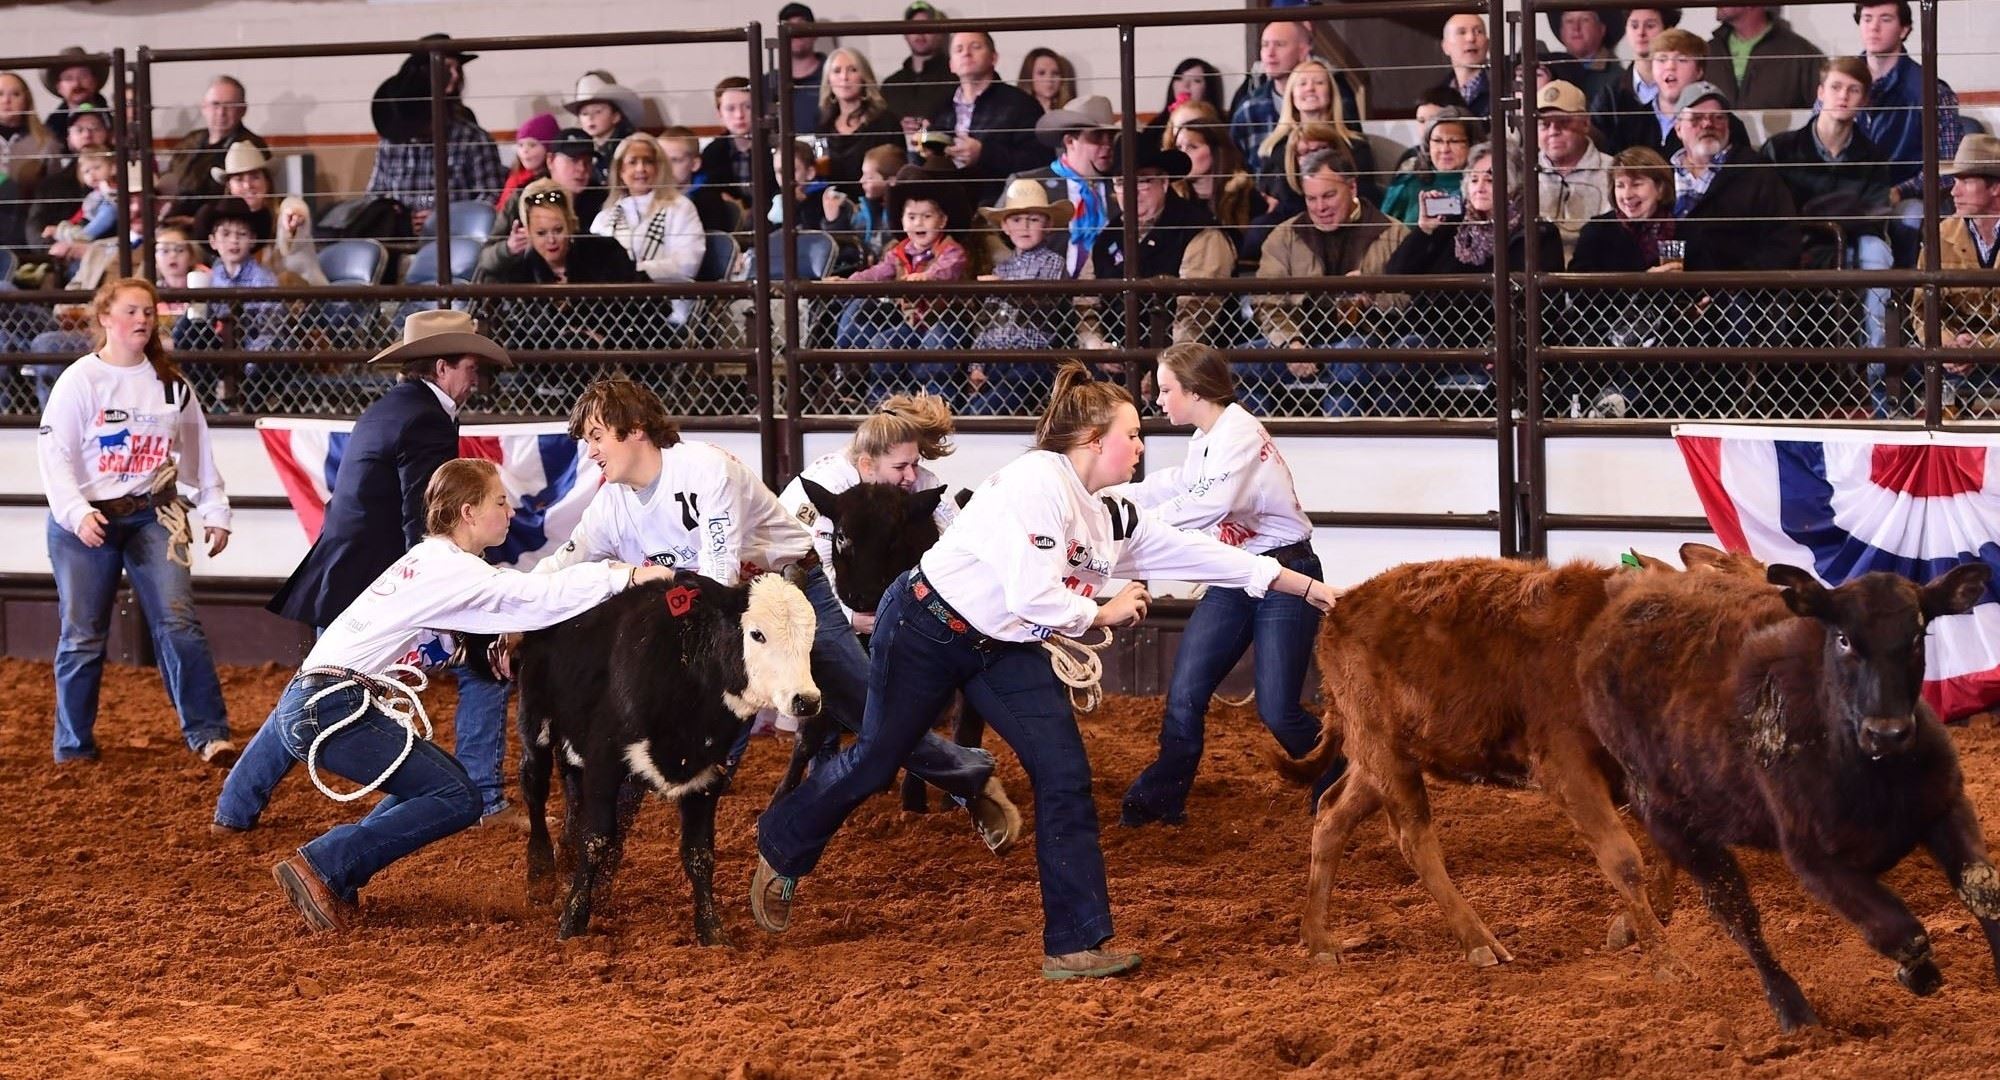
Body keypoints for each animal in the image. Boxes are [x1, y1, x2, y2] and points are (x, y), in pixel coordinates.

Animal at [510, 571, 821, 943]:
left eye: (812, 635)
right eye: (757, 634)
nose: (807, 700)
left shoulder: (708, 776)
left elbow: (700, 853)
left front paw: (712, 931)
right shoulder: (604, 763)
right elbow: (596, 839)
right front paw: (573, 922)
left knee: (570, 784)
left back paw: (566, 858)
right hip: (535, 721)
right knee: (534, 785)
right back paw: (540, 875)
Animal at [1271, 544, 1758, 968]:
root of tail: (1340, 610)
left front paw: (1634, 926)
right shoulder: (1566, 769)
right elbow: (1623, 858)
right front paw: (1666, 960)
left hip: (1381, 760)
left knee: (1332, 814)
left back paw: (1318, 939)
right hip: (1385, 752)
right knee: (1413, 838)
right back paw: (1479, 941)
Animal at [1579, 560, 2000, 1031]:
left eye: (1916, 636)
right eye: (1844, 638)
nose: (1887, 732)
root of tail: (1623, 601)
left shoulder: (1946, 804)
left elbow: (1983, 890)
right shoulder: (1812, 857)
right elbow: (1899, 930)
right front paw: (1919, 974)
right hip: (1672, 820)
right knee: (1736, 914)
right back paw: (1792, 1011)